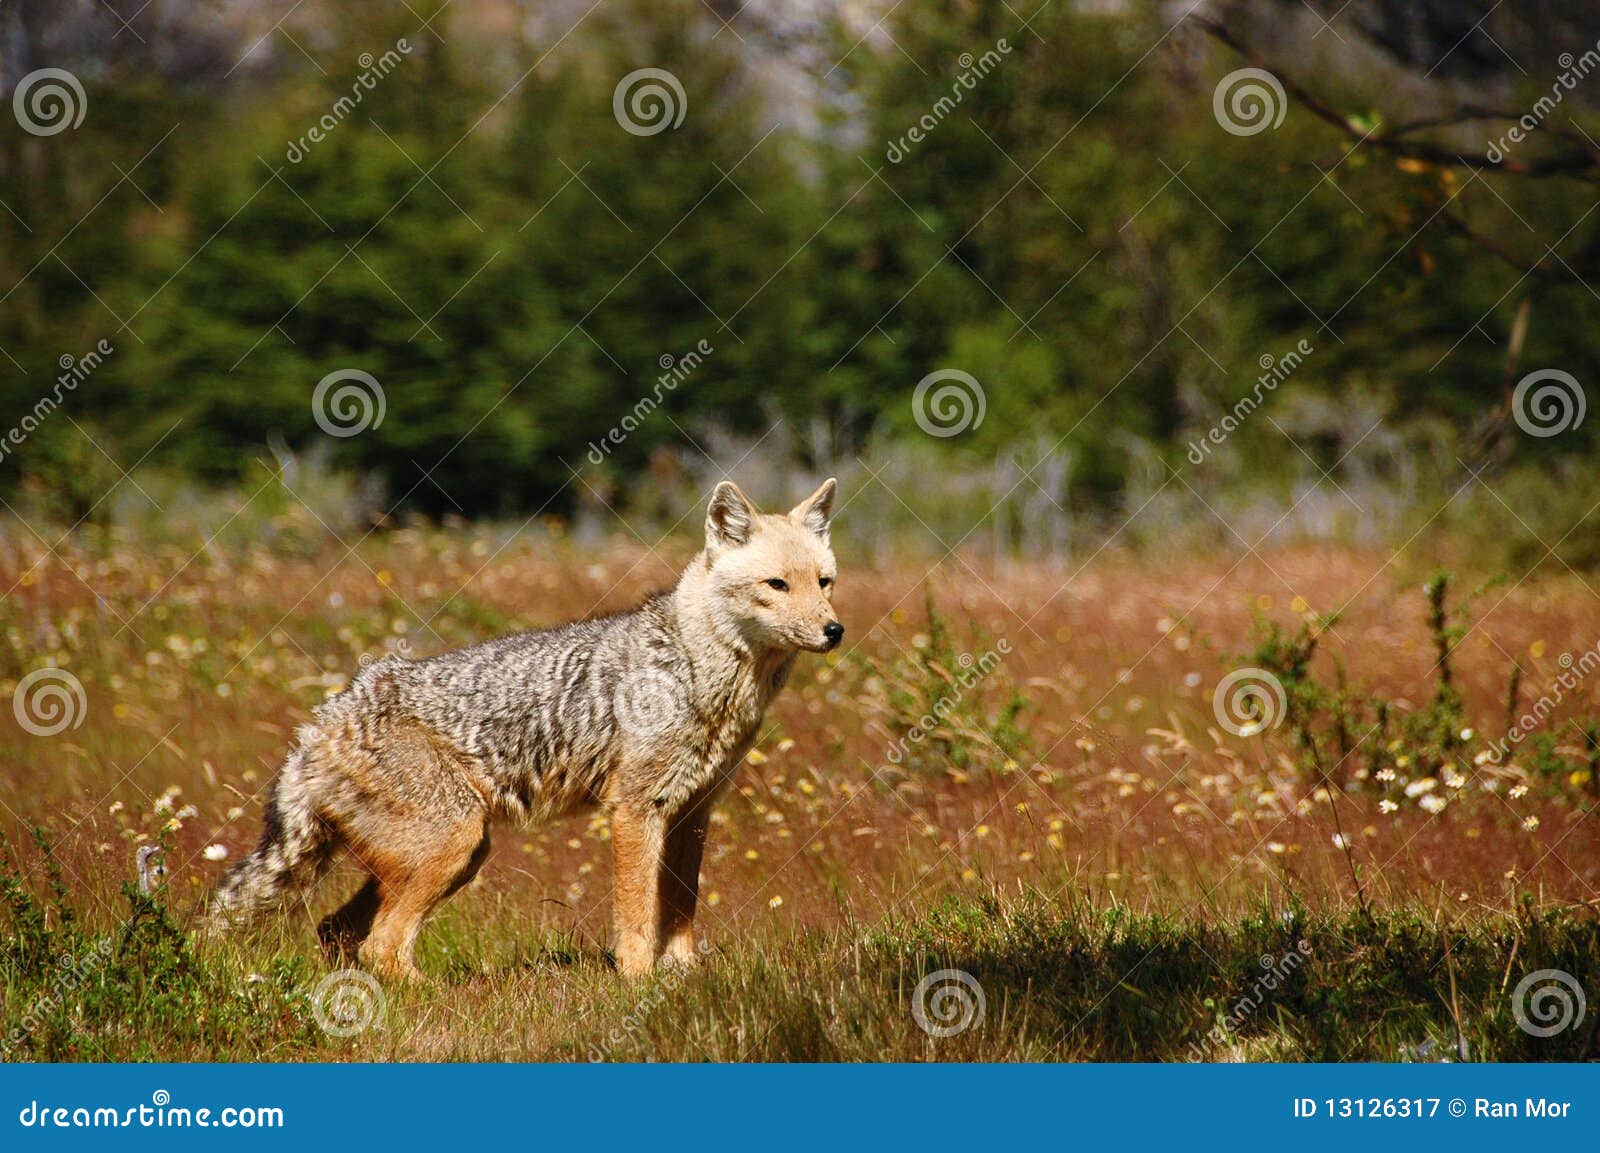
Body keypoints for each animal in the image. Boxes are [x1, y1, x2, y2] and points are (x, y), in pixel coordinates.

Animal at [203, 478, 842, 981]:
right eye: (778, 585)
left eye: (825, 582)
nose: (834, 631)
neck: (700, 673)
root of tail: (320, 723)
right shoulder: (636, 809)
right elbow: (637, 916)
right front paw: (640, 982)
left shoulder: (694, 810)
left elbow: (681, 909)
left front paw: (683, 976)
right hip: (455, 844)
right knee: (379, 945)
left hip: (456, 855)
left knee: (340, 935)